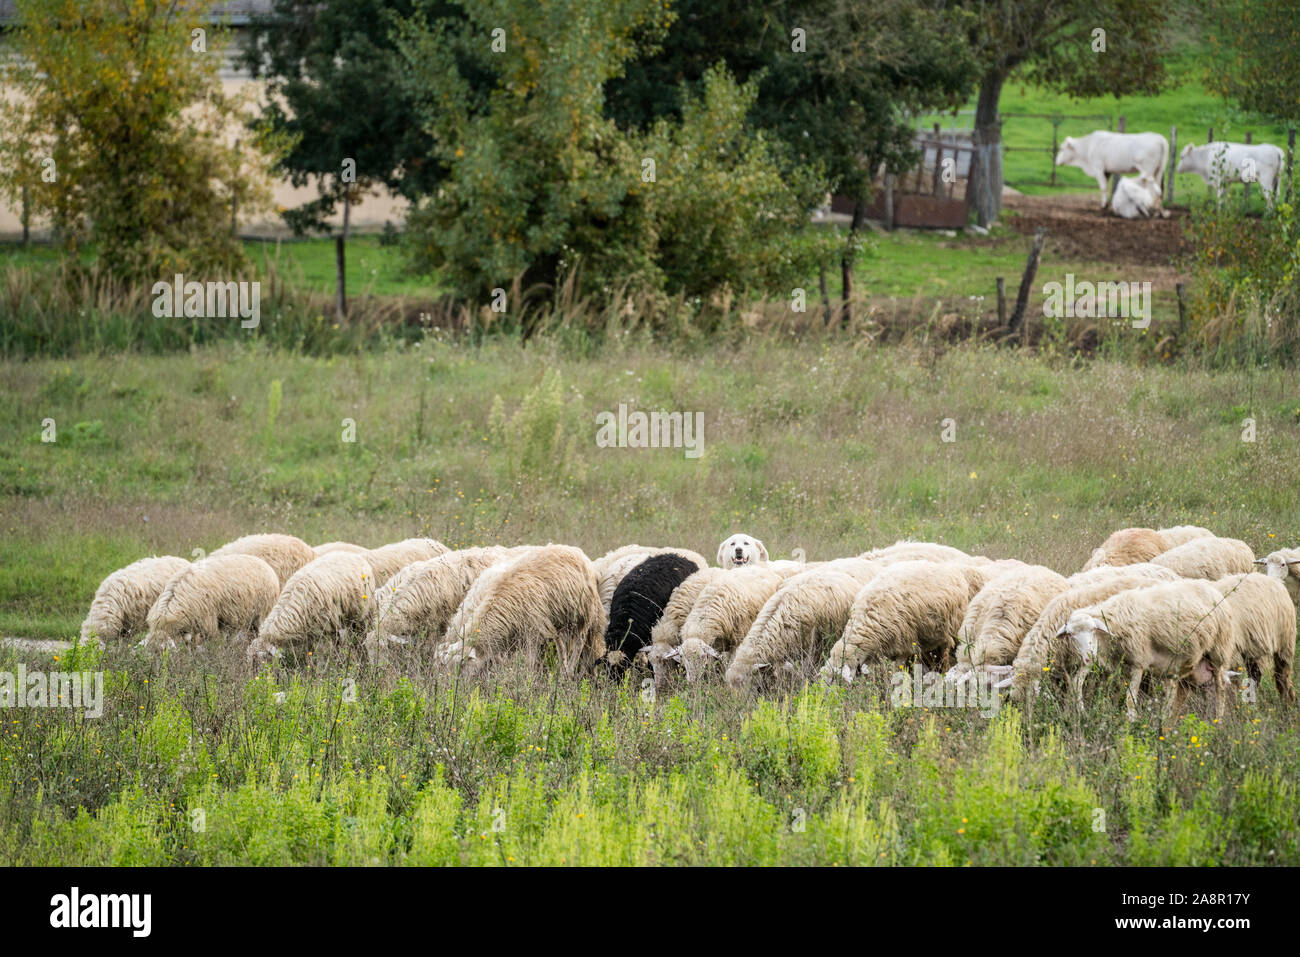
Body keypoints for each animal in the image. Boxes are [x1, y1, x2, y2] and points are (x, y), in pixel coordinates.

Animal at [247, 551, 377, 662]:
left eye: (263, 658)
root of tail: (350, 554)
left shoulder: (323, 631)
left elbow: (322, 655)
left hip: (362, 616)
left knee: (360, 637)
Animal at [438, 545, 605, 677]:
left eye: (461, 665)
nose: (453, 689)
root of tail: (575, 550)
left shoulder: (533, 633)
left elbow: (530, 663)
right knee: (562, 645)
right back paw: (563, 670)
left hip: (584, 615)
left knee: (579, 643)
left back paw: (569, 672)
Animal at [1056, 578, 1236, 721]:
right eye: (1070, 635)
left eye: (1093, 629)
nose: (1088, 656)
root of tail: (1214, 590)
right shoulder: (1115, 664)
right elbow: (1077, 684)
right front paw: (1081, 713)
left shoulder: (1138, 662)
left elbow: (1130, 698)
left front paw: (1131, 722)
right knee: (1181, 693)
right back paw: (1168, 723)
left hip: (1219, 650)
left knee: (1220, 688)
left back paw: (1218, 721)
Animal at [1211, 573, 1296, 705]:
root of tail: (1274, 580)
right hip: (1252, 646)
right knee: (1256, 674)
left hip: (1285, 641)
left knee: (1282, 675)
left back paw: (1287, 703)